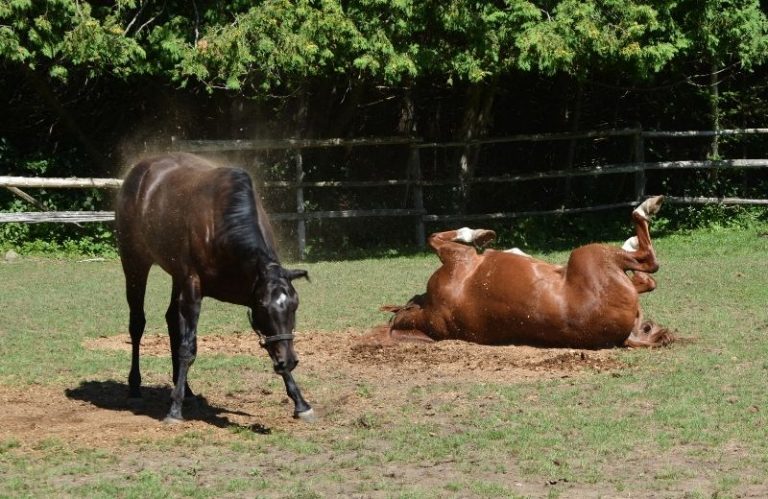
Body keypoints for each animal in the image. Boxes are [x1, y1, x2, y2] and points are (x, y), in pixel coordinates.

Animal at [115, 152, 314, 422]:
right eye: (264, 307)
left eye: (294, 305)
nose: (290, 361)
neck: (222, 224)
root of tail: (139, 172)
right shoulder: (193, 288)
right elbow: (188, 349)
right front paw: (174, 410)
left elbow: (271, 346)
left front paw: (300, 403)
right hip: (135, 262)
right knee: (137, 324)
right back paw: (136, 388)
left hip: (176, 276)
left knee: (172, 321)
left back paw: (186, 390)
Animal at [379, 196, 674, 349]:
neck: (432, 309)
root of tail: (626, 333)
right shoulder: (456, 257)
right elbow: (436, 238)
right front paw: (481, 234)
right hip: (588, 253)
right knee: (649, 264)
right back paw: (646, 208)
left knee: (647, 276)